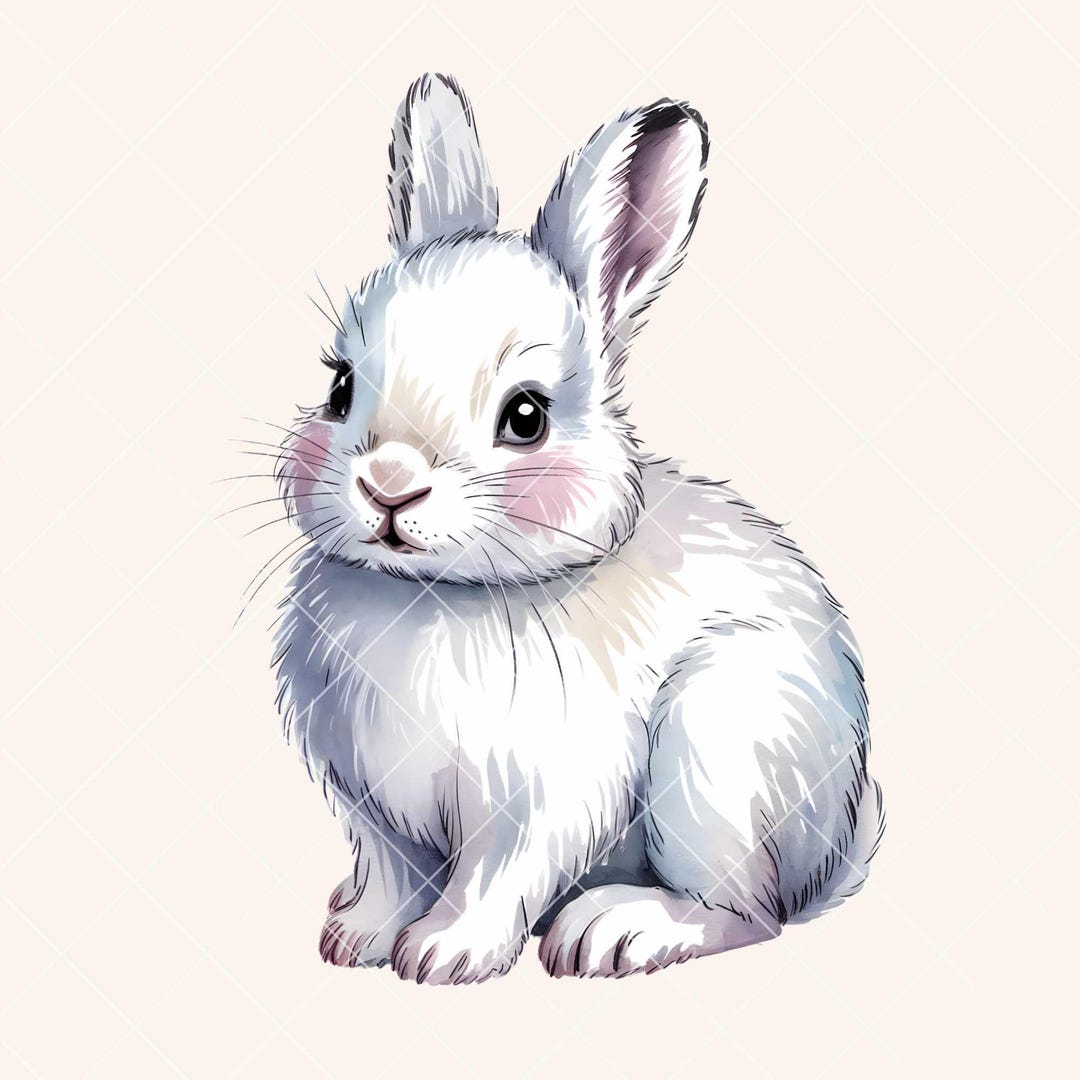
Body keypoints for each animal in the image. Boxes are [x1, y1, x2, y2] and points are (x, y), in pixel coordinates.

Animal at [271, 72, 884, 984]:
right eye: (340, 387)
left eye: (526, 417)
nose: (390, 486)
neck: (434, 594)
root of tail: (837, 848)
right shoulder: (373, 811)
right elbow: (390, 877)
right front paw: (357, 941)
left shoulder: (543, 796)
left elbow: (495, 878)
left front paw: (444, 956)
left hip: (717, 762)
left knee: (746, 913)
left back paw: (620, 931)